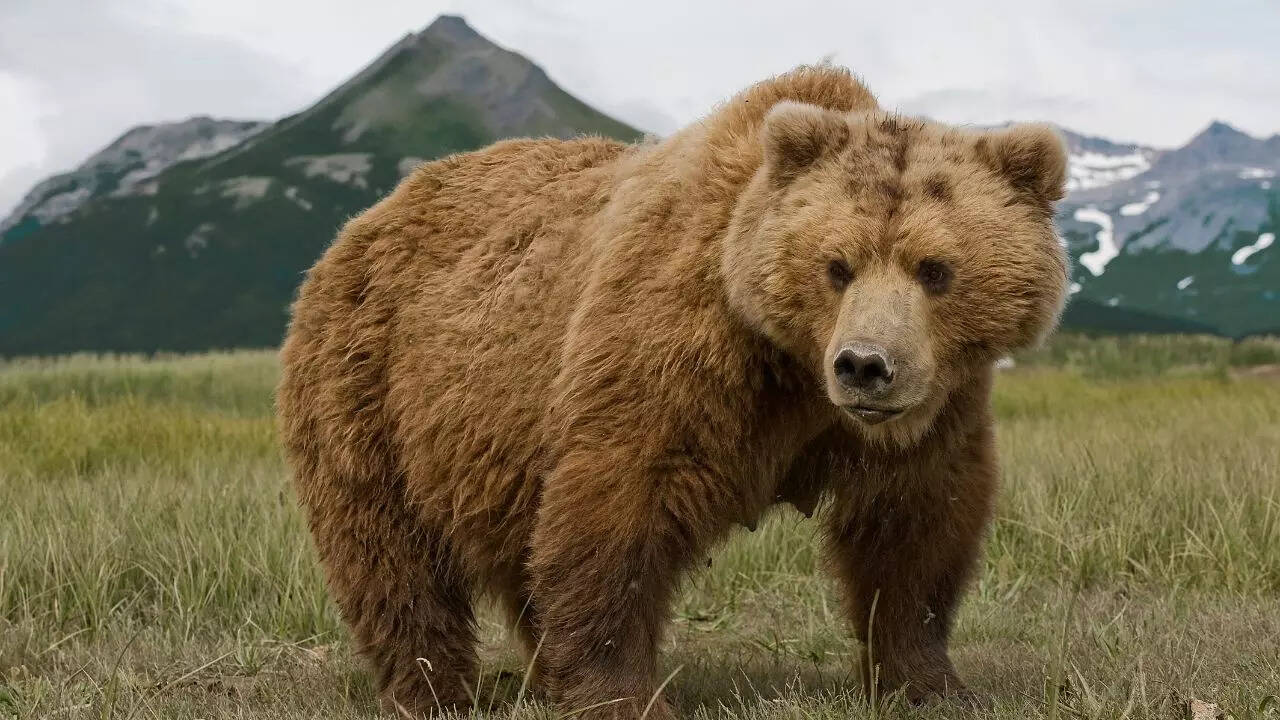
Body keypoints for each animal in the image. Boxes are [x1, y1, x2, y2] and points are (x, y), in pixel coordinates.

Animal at [277, 65, 1069, 718]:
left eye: (935, 269)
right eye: (836, 265)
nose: (865, 365)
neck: (793, 368)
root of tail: (362, 222)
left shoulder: (931, 410)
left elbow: (916, 530)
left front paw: (934, 682)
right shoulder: (681, 350)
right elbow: (619, 506)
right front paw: (622, 695)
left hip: (493, 445)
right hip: (373, 385)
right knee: (389, 556)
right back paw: (433, 688)